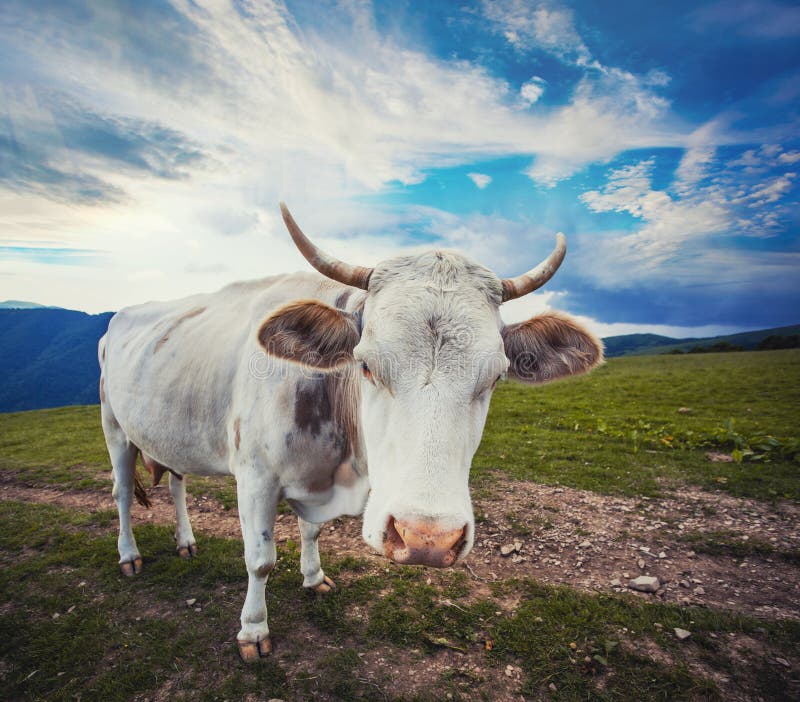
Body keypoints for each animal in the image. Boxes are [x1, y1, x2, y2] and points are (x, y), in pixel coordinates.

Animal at [98, 203, 603, 660]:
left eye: (496, 376)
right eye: (365, 365)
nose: (428, 540)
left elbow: (311, 532)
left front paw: (314, 578)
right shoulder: (255, 477)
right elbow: (260, 560)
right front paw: (253, 631)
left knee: (177, 483)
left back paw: (185, 542)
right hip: (114, 426)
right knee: (122, 493)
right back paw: (128, 555)